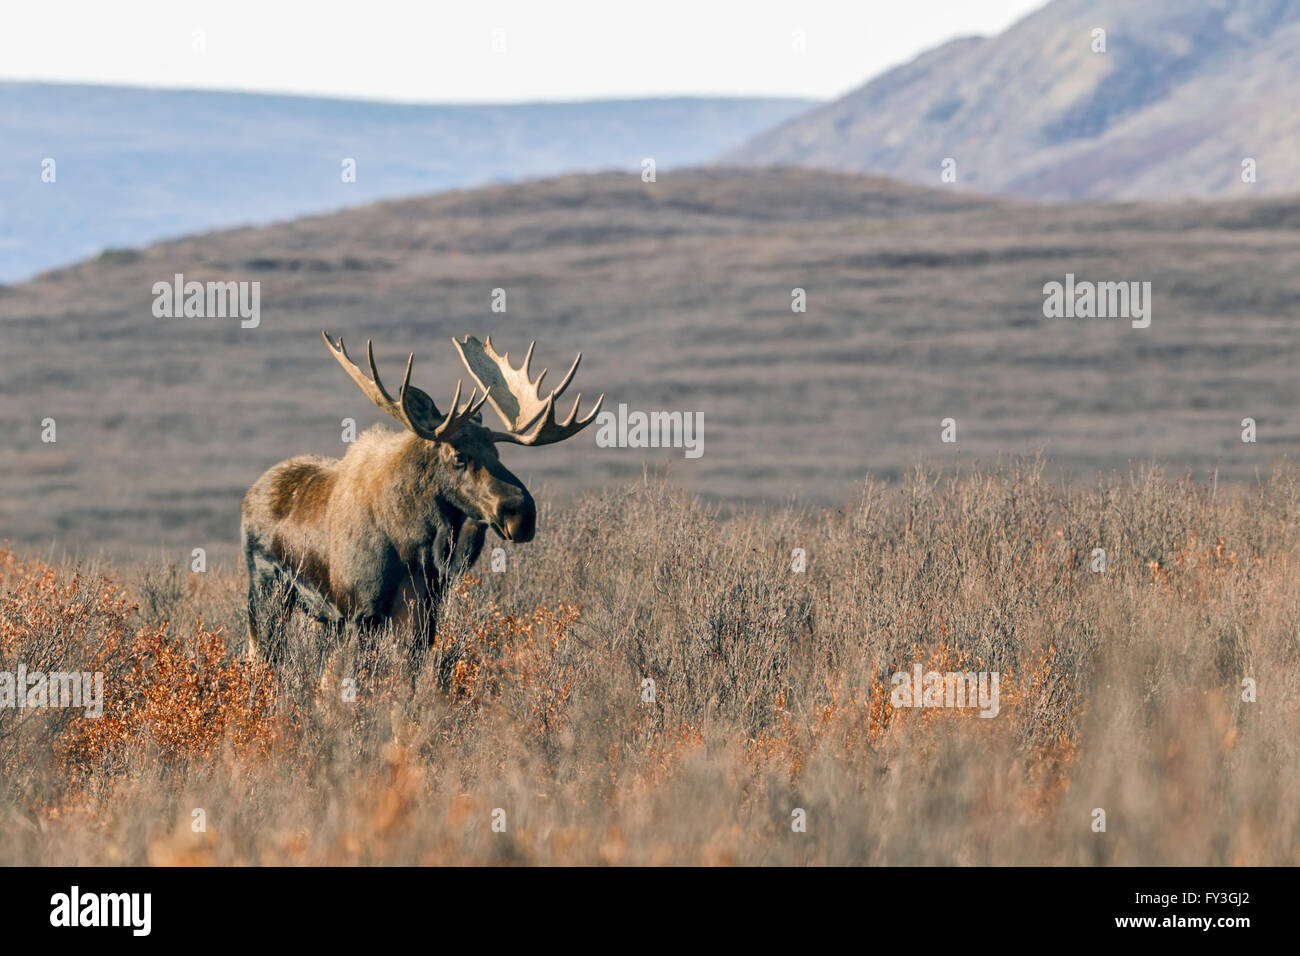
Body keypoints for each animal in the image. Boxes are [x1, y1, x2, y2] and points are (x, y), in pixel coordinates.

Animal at [240, 332, 602, 661]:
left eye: (497, 451)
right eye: (459, 456)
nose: (521, 513)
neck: (416, 542)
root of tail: (251, 493)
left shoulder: (424, 611)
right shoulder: (359, 612)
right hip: (267, 592)